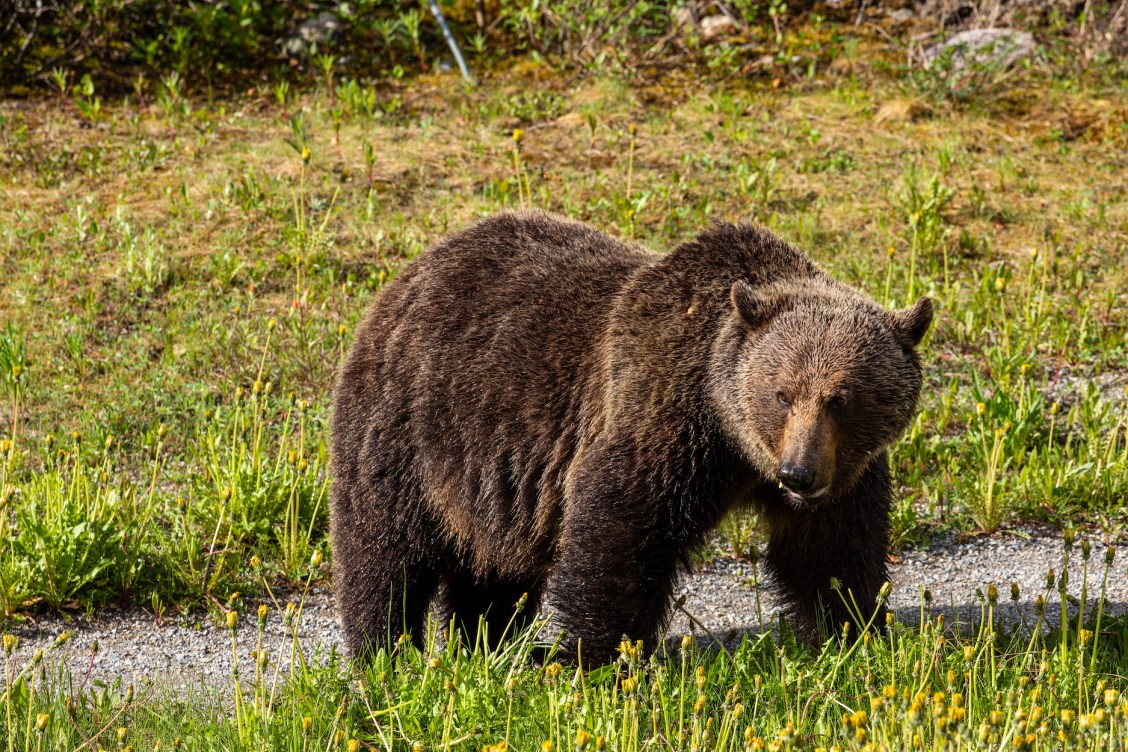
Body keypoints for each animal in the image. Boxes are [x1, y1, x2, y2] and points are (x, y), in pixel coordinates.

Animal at [330, 210, 932, 663]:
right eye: (782, 393)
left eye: (840, 398)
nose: (798, 474)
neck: (736, 443)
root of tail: (411, 270)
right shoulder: (662, 416)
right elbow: (620, 533)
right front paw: (595, 656)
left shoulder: (841, 474)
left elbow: (831, 554)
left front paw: (852, 632)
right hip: (409, 423)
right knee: (384, 546)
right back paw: (386, 653)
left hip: (488, 480)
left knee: (492, 566)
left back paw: (485, 643)